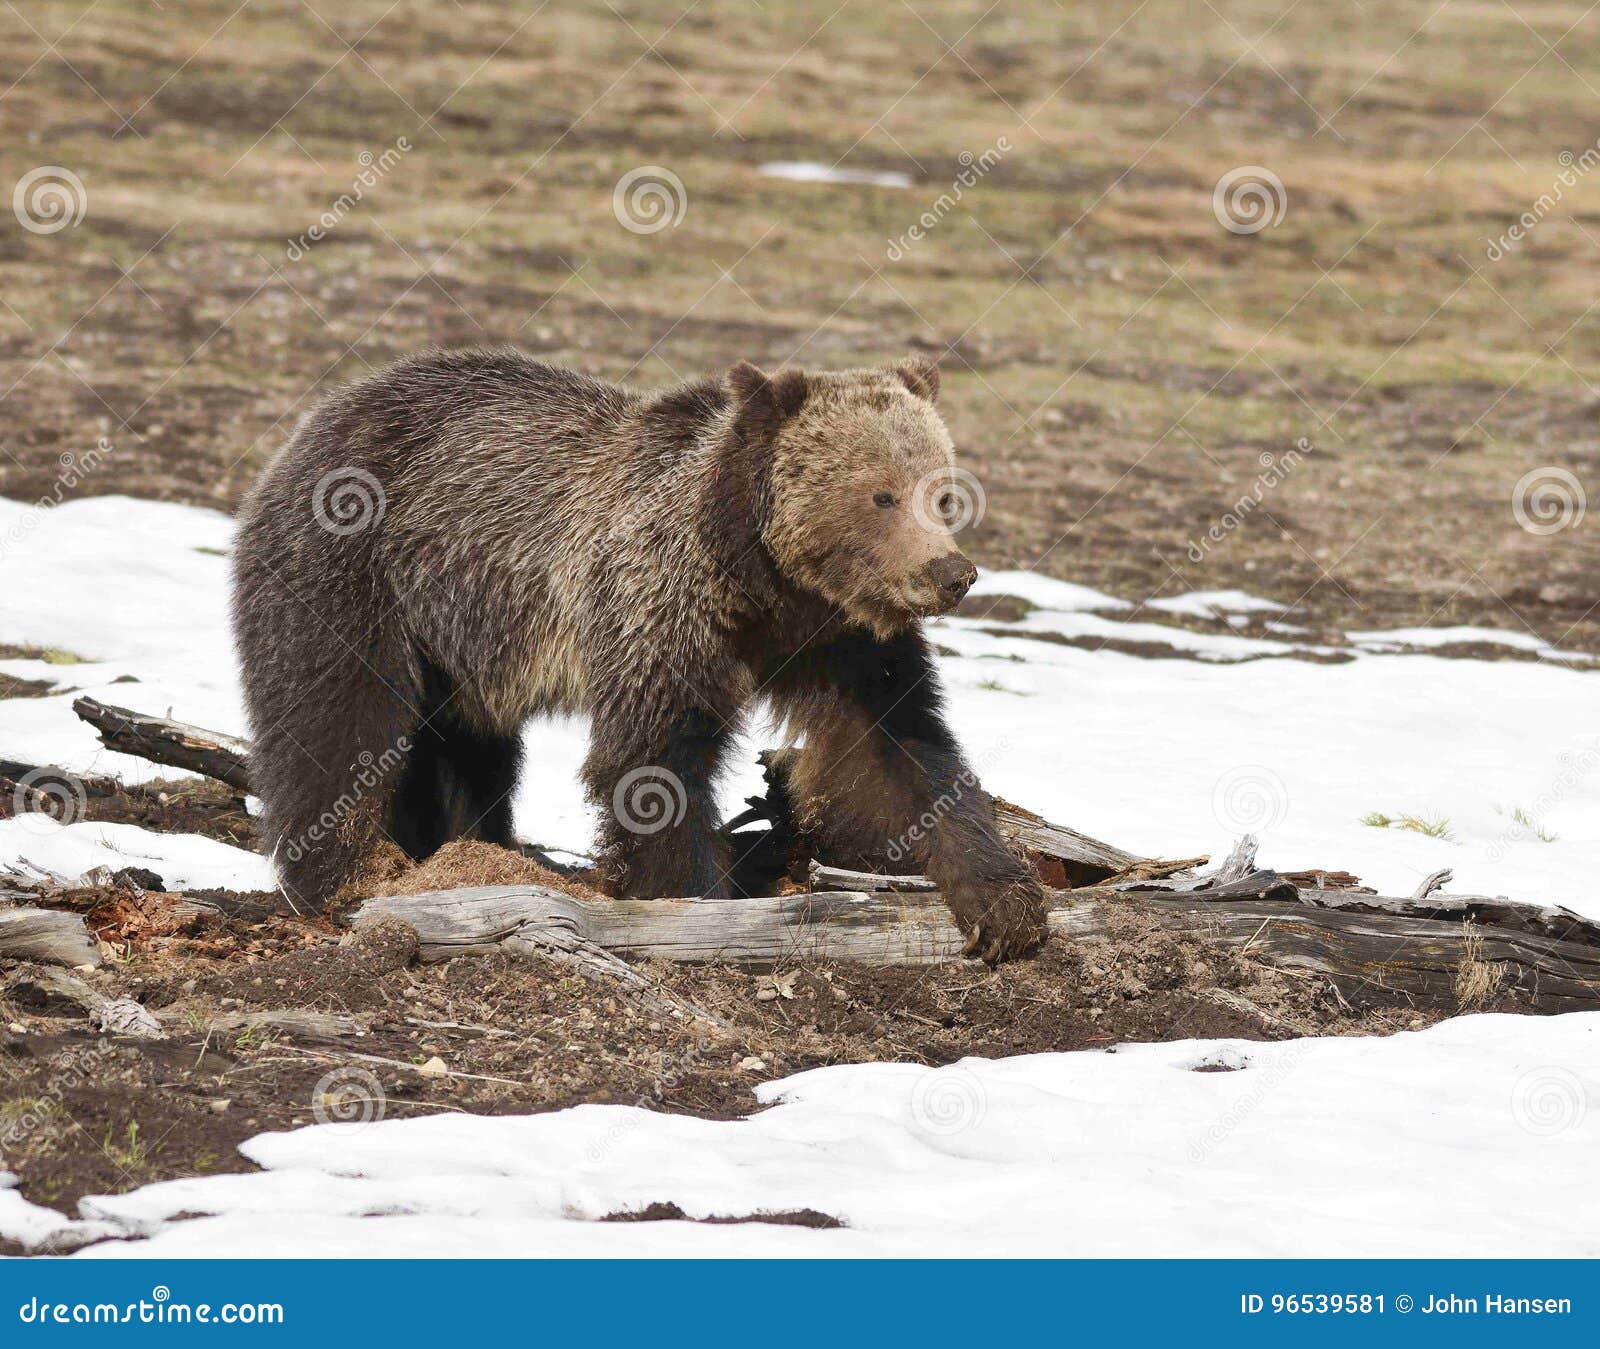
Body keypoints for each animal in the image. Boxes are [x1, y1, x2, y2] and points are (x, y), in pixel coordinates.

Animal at [231, 348, 1049, 963]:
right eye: (880, 494)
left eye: (942, 492)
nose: (951, 573)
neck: (766, 585)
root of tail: (329, 409)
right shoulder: (659, 605)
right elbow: (656, 760)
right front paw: (695, 900)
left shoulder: (842, 642)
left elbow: (895, 750)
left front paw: (1005, 903)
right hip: (354, 570)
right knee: (339, 718)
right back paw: (345, 875)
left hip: (463, 642)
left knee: (467, 750)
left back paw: (459, 853)